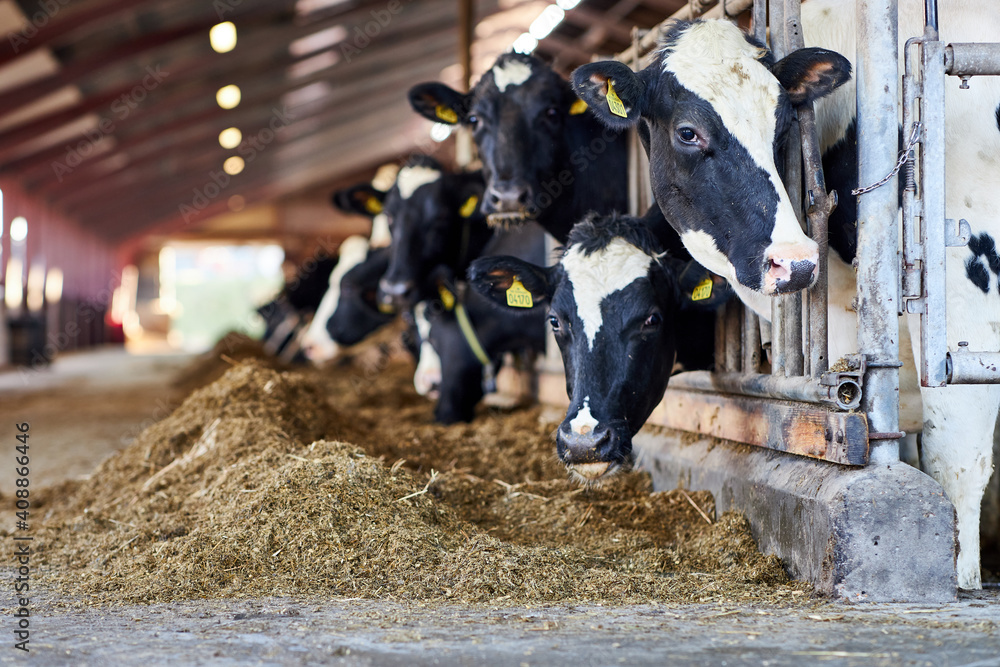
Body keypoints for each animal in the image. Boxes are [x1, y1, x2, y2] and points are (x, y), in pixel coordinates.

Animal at [572, 5, 1000, 589]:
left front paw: (963, 582)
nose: (794, 261)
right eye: (687, 132)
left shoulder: (962, 285)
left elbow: (956, 459)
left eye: (781, 127)